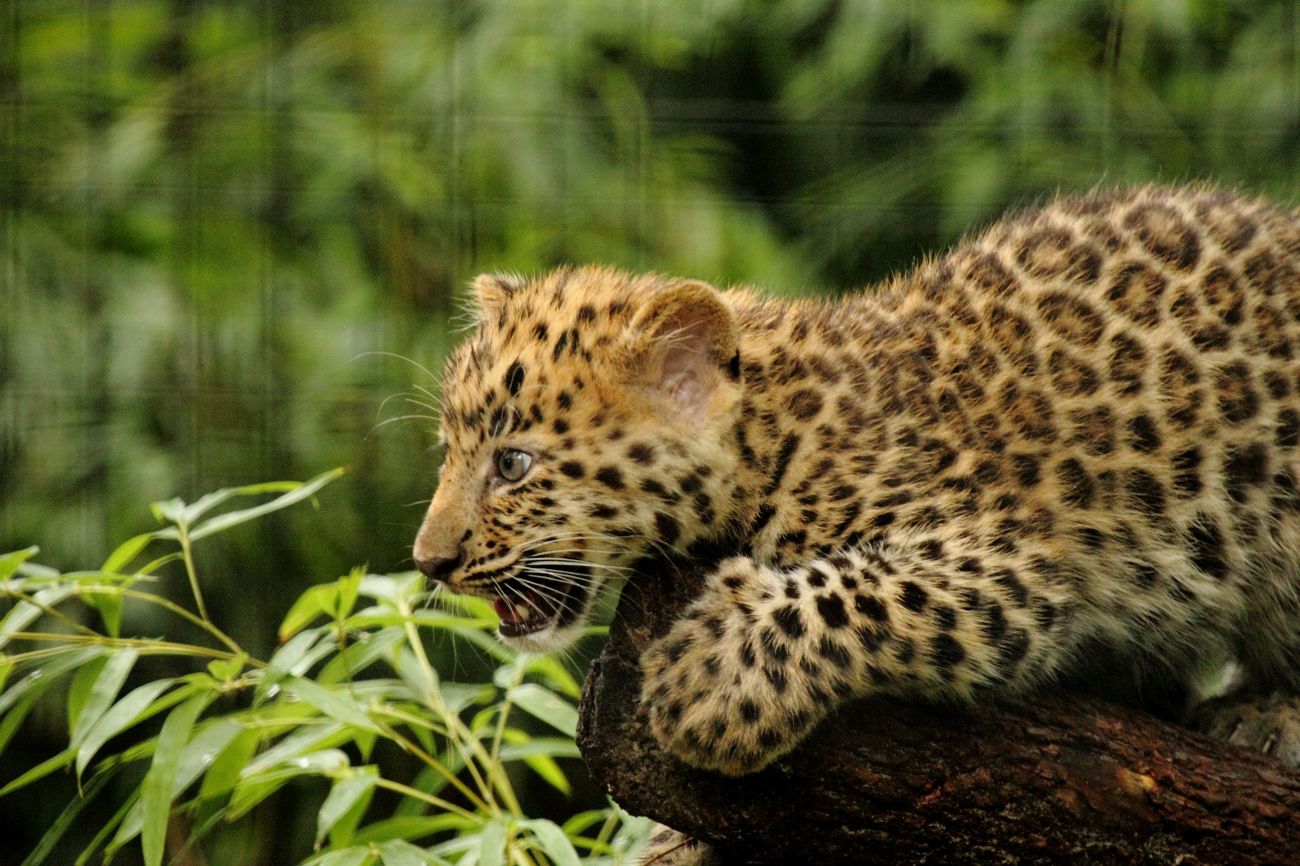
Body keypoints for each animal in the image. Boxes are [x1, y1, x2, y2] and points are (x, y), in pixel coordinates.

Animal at [412, 186, 1300, 794]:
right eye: (449, 453)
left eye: (513, 465)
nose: (428, 563)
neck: (775, 435)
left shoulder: (1006, 561)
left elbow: (855, 591)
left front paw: (711, 682)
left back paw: (1263, 716)